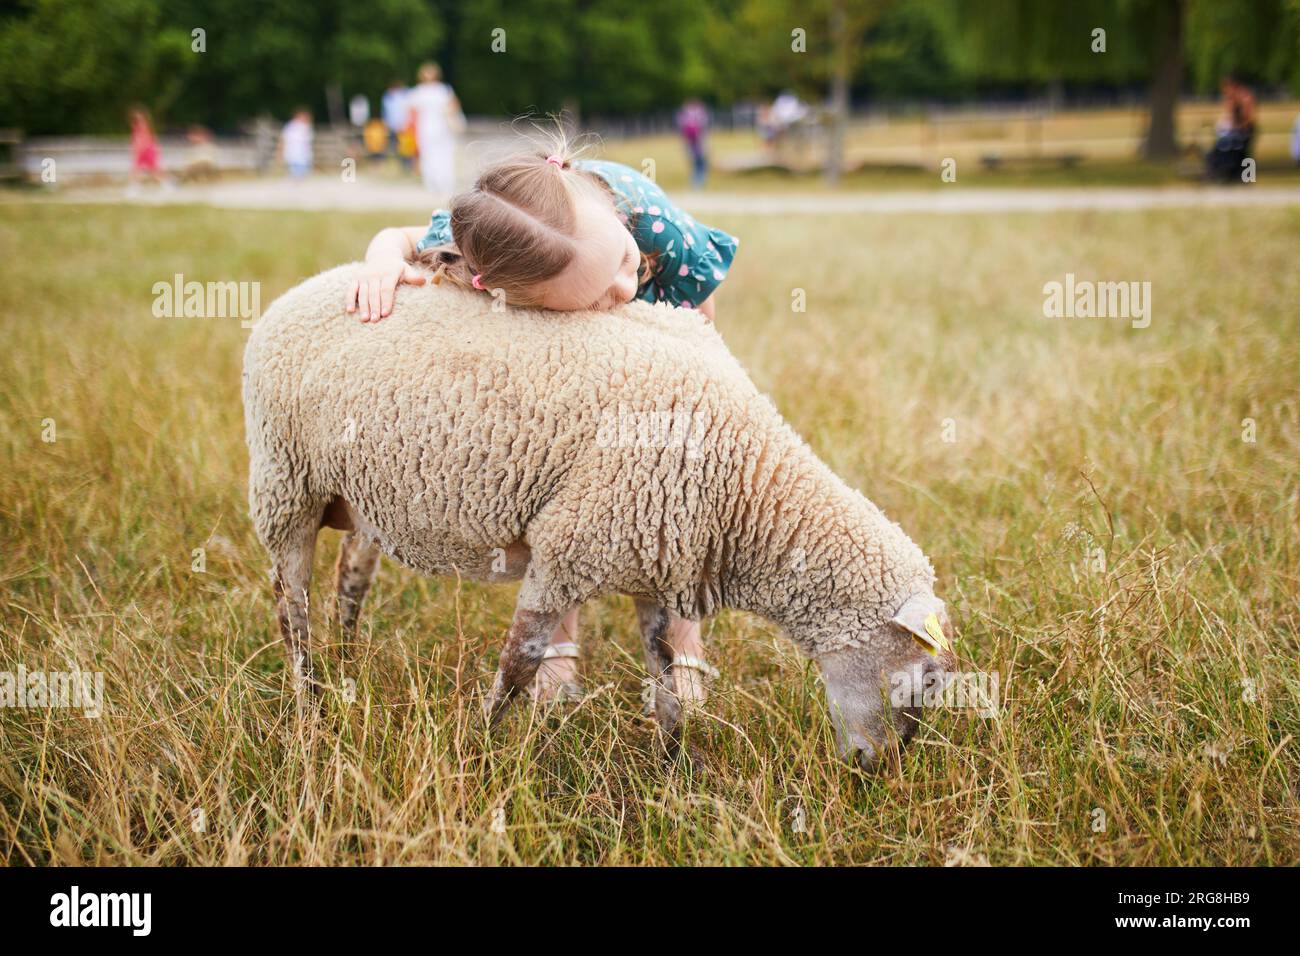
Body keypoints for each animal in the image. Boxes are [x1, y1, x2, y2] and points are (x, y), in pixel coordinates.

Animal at [242, 264, 956, 768]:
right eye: (921, 680)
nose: (874, 769)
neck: (747, 490)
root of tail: (296, 293)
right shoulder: (568, 550)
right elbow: (519, 664)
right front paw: (480, 749)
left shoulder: (658, 563)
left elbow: (667, 679)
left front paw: (674, 765)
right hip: (284, 482)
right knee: (289, 600)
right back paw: (309, 699)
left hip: (357, 493)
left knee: (350, 578)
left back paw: (348, 658)